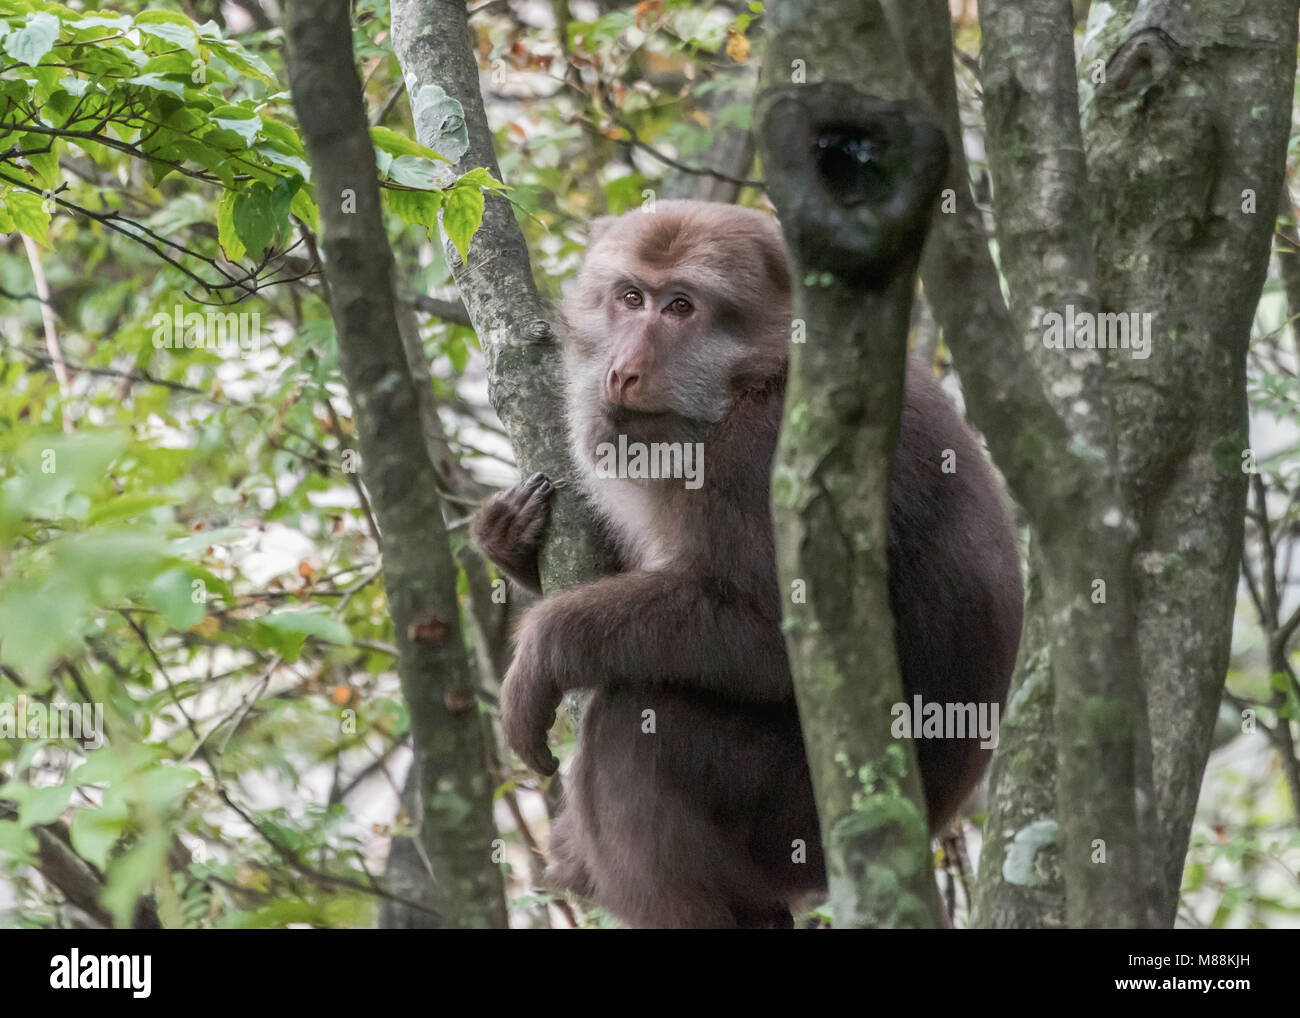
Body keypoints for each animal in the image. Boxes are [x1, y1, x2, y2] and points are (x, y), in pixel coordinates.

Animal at [471, 200, 1023, 928]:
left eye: (681, 307)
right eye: (630, 298)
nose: (623, 370)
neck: (752, 382)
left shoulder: (762, 458)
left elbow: (770, 641)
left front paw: (541, 650)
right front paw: (511, 540)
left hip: (786, 822)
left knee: (636, 724)